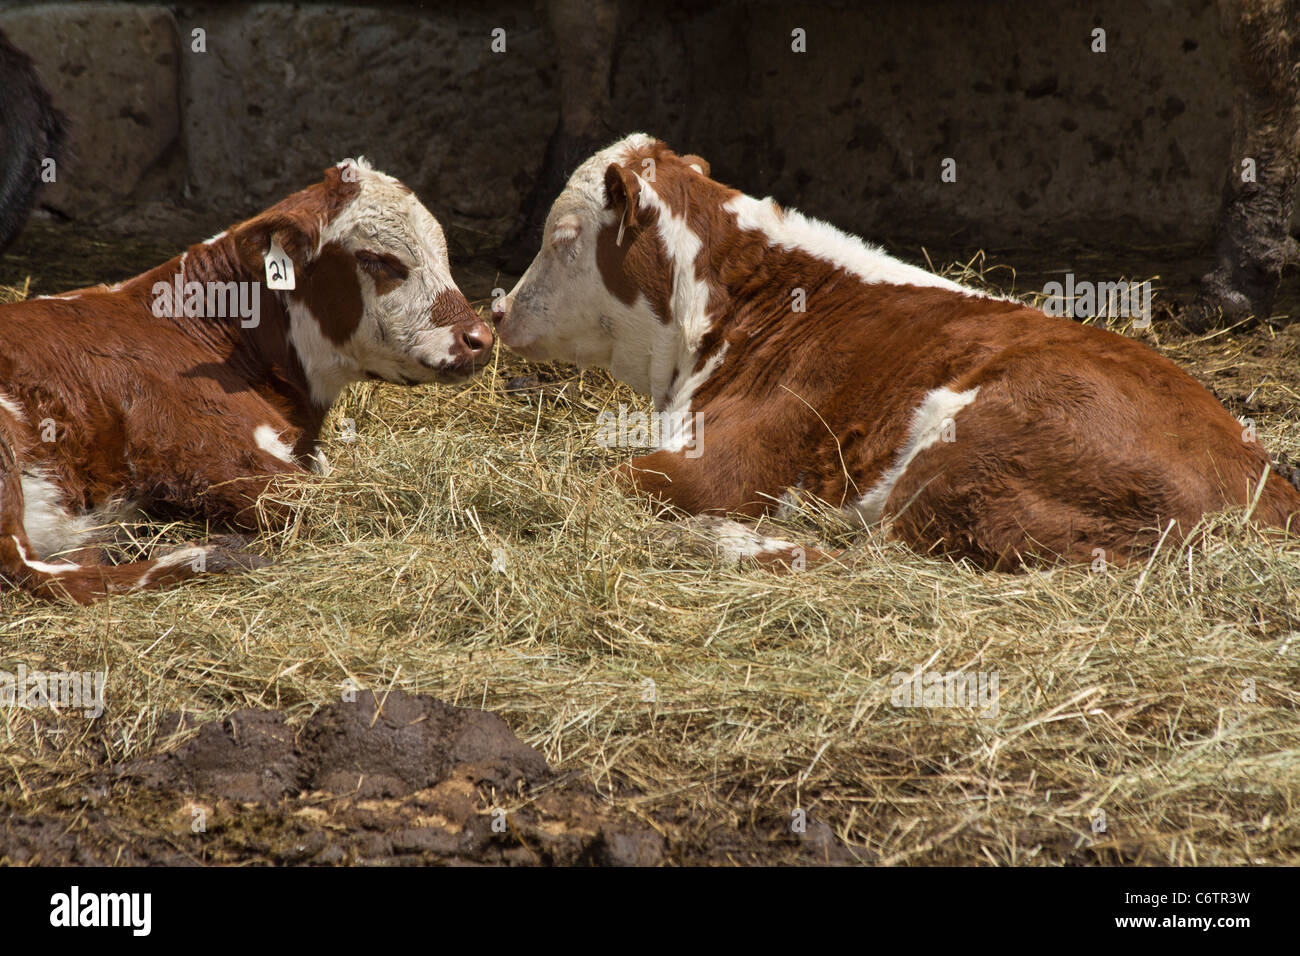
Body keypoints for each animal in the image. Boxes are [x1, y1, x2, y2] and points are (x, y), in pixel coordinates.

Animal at [0, 158, 492, 603]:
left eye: (444, 255)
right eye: (377, 260)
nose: (479, 339)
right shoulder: (211, 453)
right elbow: (352, 503)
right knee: (34, 570)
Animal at [492, 133, 1300, 570]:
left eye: (562, 238)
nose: (497, 309)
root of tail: (1262, 494)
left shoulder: (724, 462)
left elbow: (607, 483)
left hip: (969, 460)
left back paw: (731, 541)